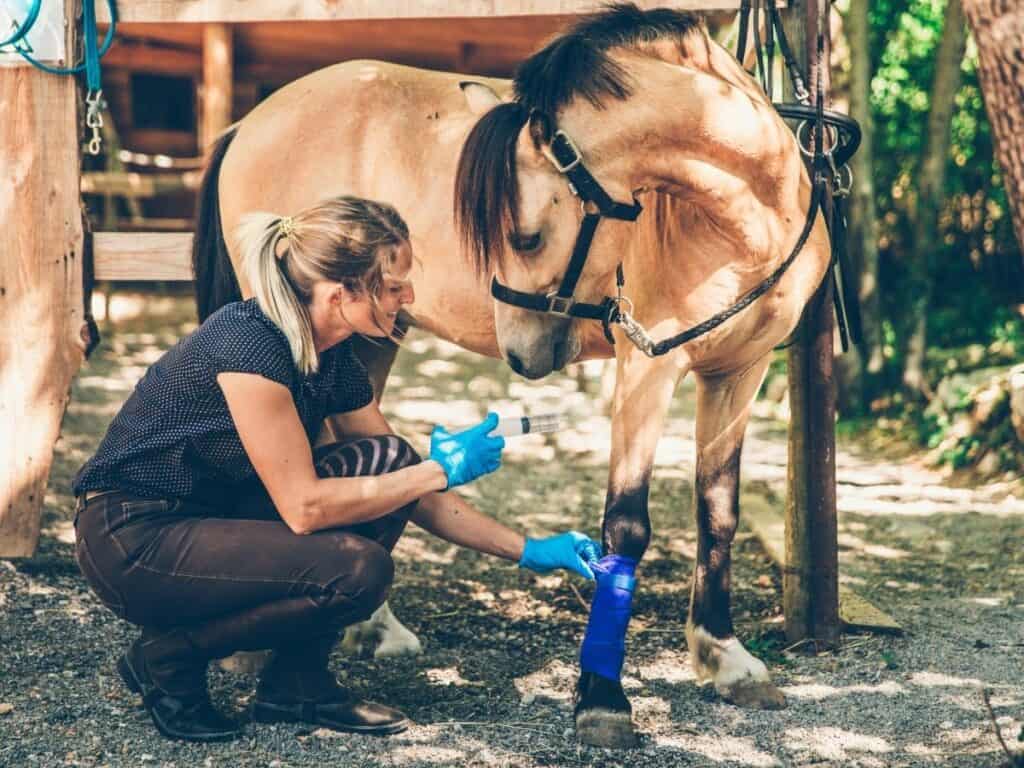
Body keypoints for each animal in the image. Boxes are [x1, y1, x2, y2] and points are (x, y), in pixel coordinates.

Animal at [191, 4, 831, 749]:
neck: (743, 220)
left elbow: (719, 512)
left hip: (366, 341)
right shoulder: (649, 366)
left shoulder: (739, 371)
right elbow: (626, 527)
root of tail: (251, 122)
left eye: (524, 236)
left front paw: (725, 658)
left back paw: (371, 629)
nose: (521, 354)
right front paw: (602, 697)